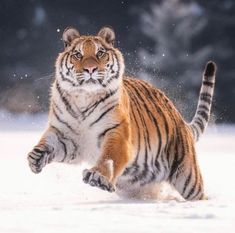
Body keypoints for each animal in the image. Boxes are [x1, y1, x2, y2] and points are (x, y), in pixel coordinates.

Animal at [27, 25, 217, 200]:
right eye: (78, 55)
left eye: (100, 53)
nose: (90, 69)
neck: (84, 97)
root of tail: (180, 119)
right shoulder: (66, 136)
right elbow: (47, 143)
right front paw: (35, 158)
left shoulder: (116, 132)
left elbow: (109, 157)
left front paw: (97, 176)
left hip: (187, 177)